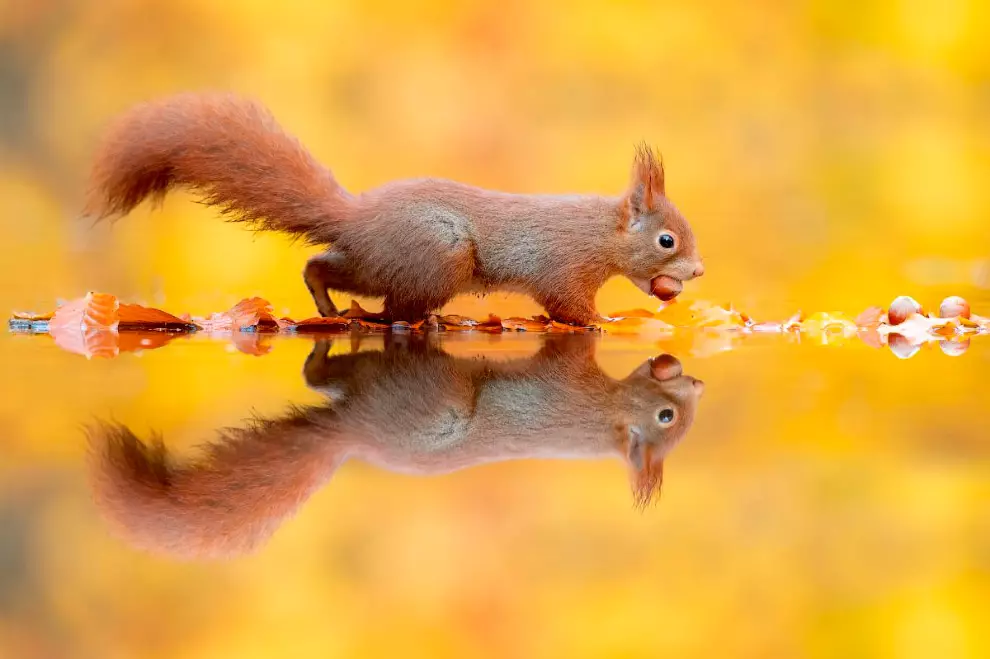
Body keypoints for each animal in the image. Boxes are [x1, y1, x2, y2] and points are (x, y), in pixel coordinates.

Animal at [83, 93, 704, 324]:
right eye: (666, 240)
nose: (697, 272)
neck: (600, 233)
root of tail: (357, 217)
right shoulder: (560, 267)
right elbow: (567, 306)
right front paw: (602, 322)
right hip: (435, 256)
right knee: (384, 304)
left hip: (377, 261)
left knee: (326, 266)